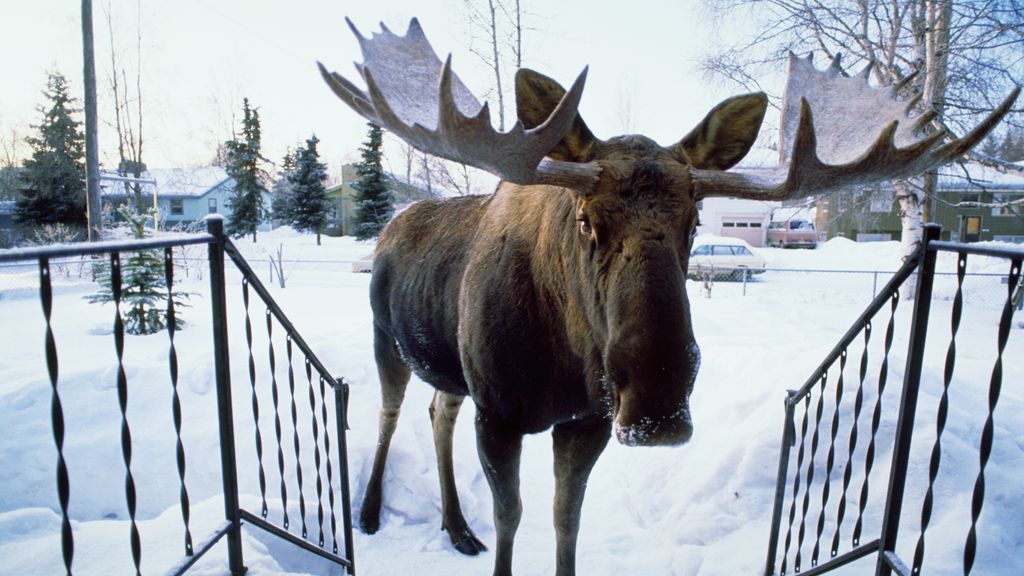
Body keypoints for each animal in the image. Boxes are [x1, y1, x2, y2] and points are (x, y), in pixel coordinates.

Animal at [318, 17, 1018, 576]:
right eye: (585, 219)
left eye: (695, 220)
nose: (657, 403)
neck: (561, 362)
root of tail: (388, 230)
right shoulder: (499, 414)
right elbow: (512, 521)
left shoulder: (587, 421)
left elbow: (565, 522)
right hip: (389, 340)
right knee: (388, 411)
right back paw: (371, 512)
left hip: (451, 368)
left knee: (438, 410)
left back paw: (456, 527)